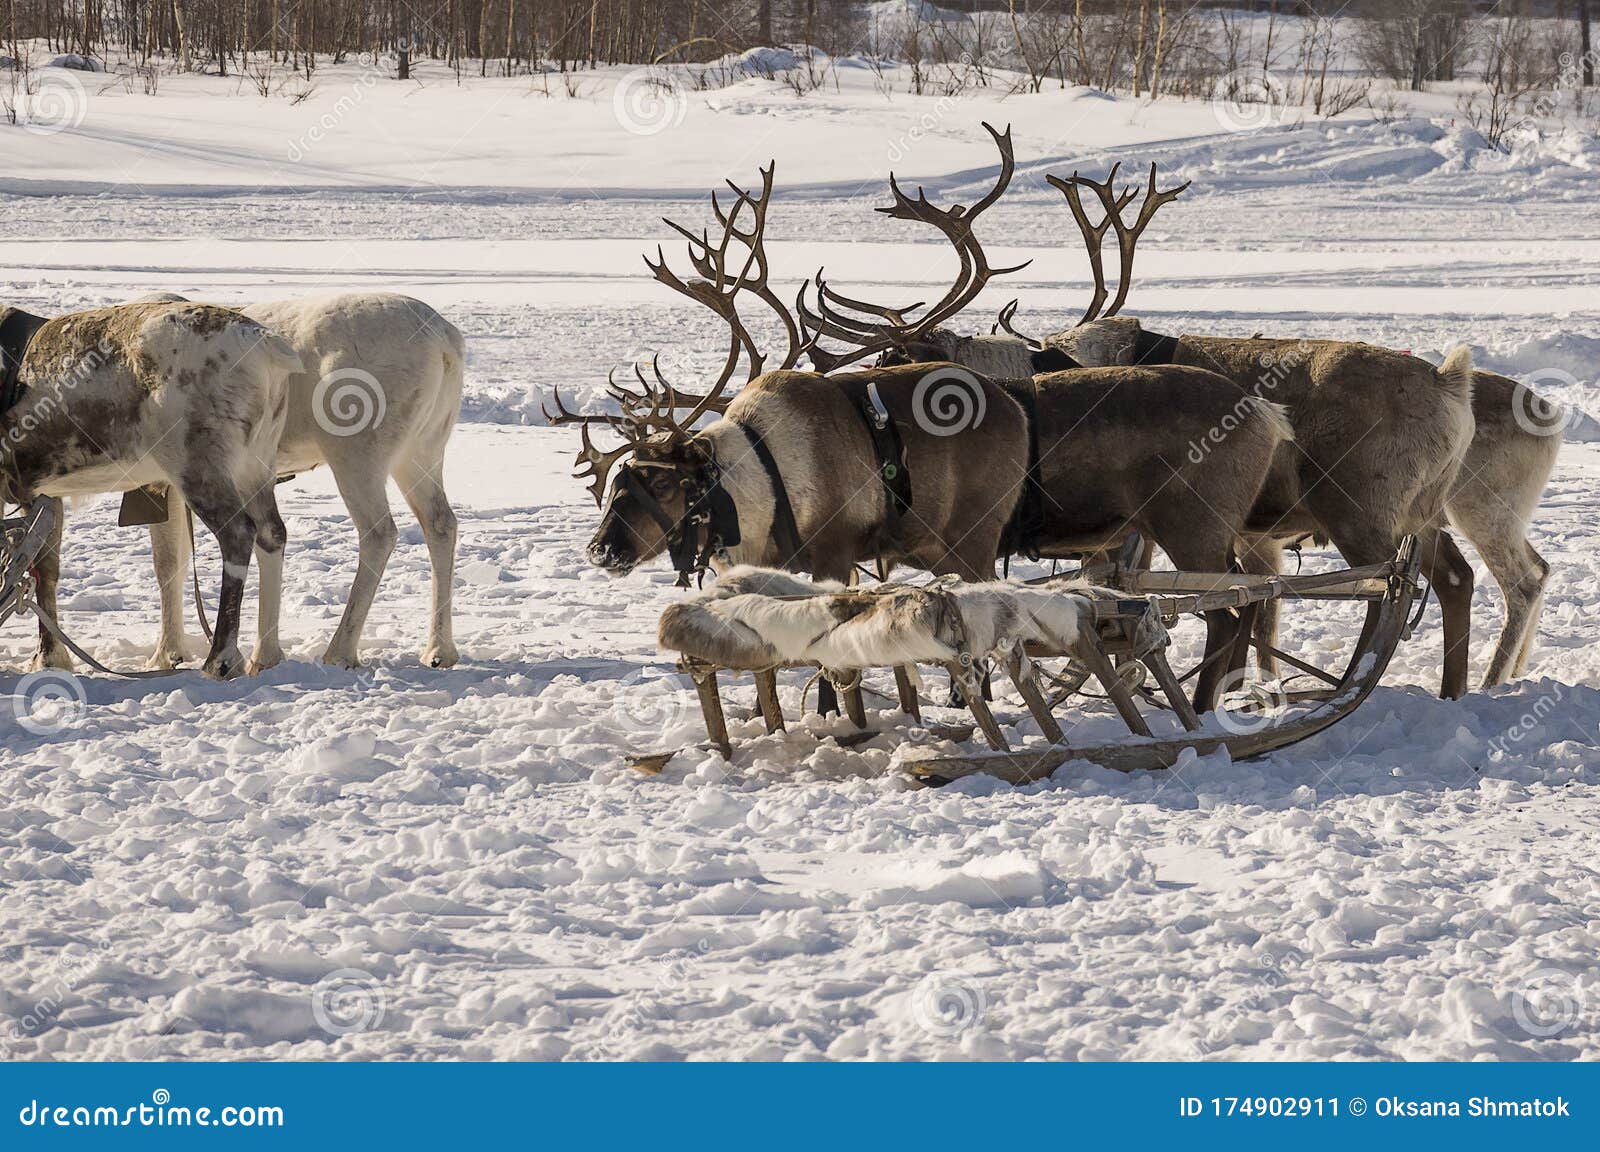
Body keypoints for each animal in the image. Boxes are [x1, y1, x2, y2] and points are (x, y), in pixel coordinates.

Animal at [0, 299, 301, 679]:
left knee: (238, 533)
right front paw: (51, 658)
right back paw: (266, 656)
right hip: (256, 466)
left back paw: (221, 658)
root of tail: (266, 346)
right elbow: (44, 570)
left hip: (198, 465)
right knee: (272, 533)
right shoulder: (44, 491)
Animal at [557, 127, 1292, 713]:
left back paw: (1208, 702)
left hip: (1181, 524)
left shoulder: (837, 551)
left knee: (1235, 608)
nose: (601, 550)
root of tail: (1266, 412)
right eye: (618, 479)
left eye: (660, 482)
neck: (760, 478)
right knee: (1242, 601)